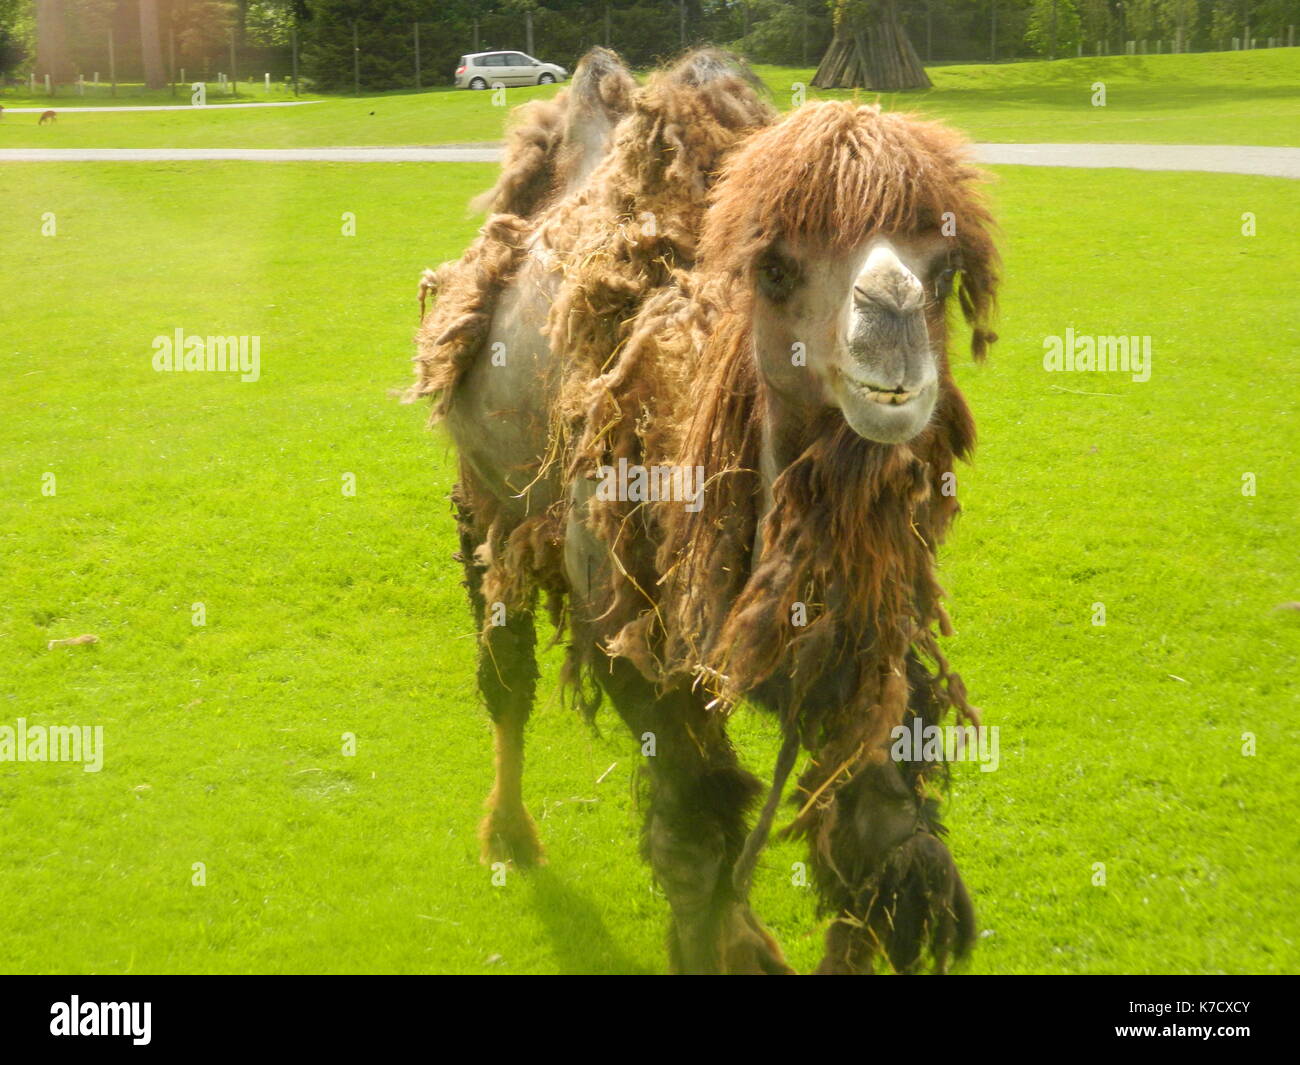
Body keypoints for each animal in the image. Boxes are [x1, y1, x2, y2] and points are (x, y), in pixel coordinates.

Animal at [410, 49, 999, 975]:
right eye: (775, 268)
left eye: (944, 273)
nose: (893, 332)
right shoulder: (632, 640)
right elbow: (696, 840)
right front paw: (726, 935)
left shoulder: (867, 651)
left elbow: (885, 858)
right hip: (481, 503)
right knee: (505, 672)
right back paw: (509, 835)